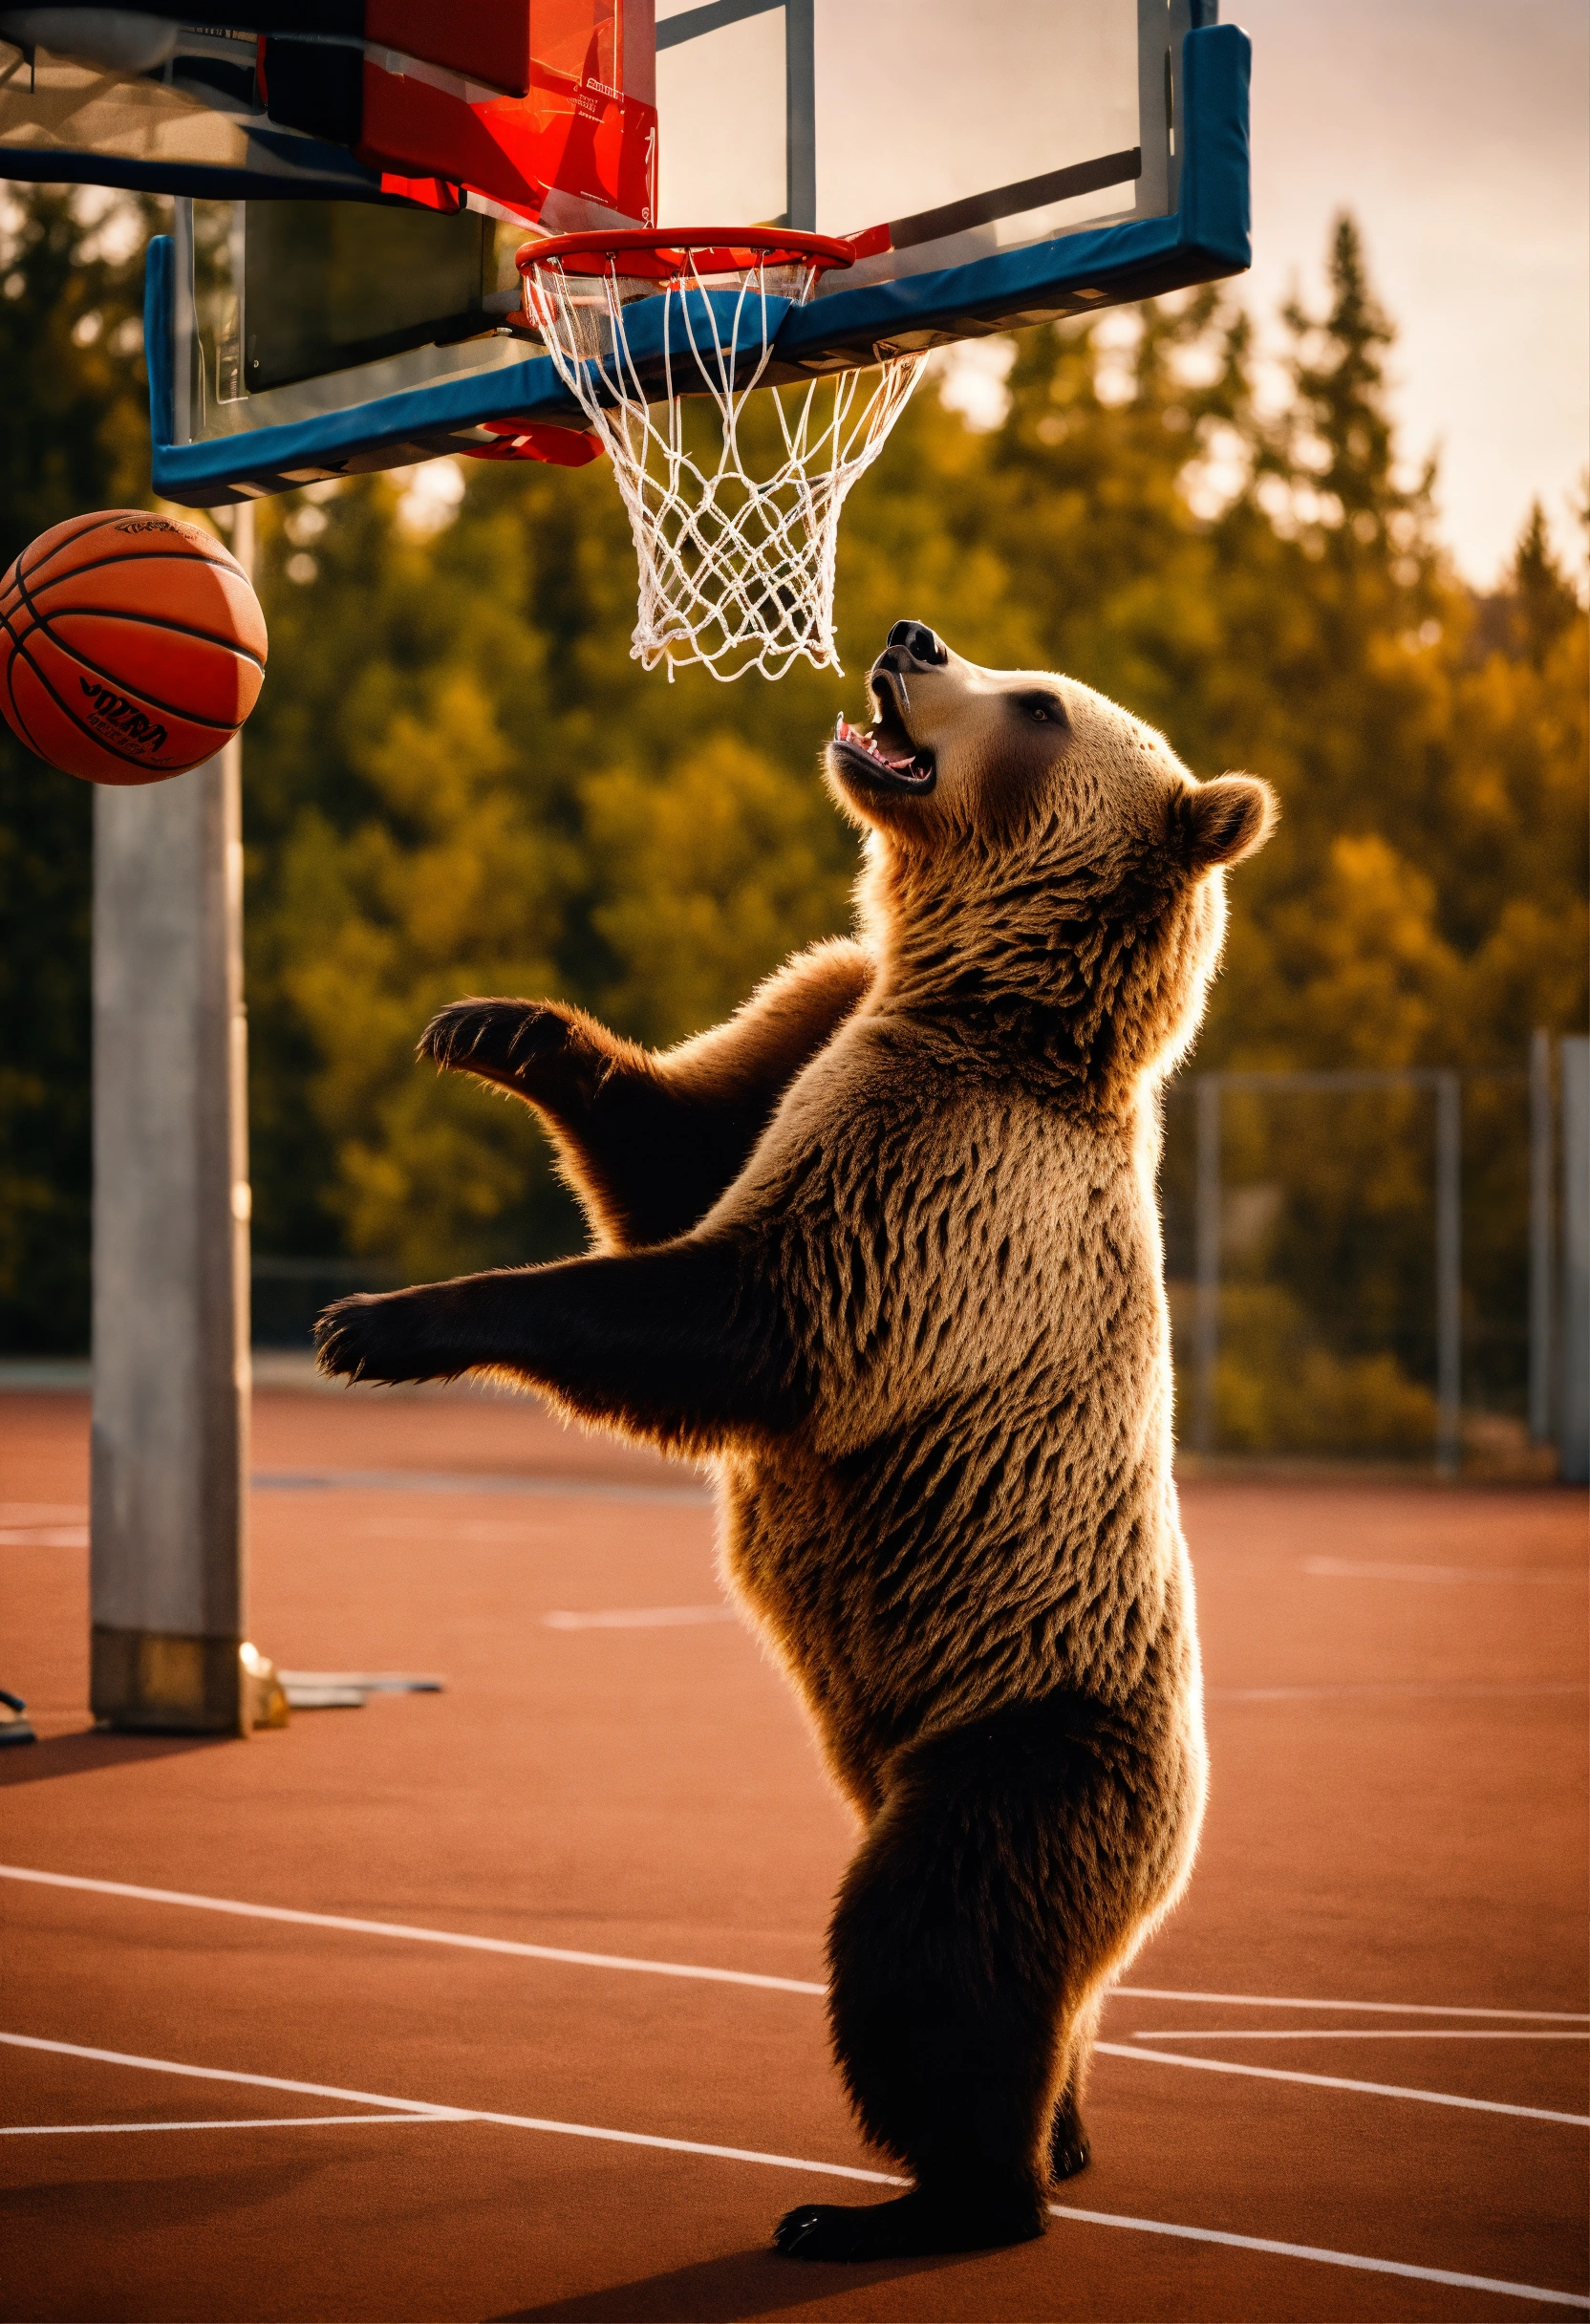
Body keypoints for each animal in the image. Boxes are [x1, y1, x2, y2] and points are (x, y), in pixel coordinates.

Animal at [315, 618, 1276, 2264]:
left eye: (1039, 704)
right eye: (1012, 669)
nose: (911, 638)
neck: (974, 994)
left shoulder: (943, 1181)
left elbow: (747, 1317)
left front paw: (385, 1322)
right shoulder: (823, 1027)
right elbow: (677, 1163)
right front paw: (498, 1027)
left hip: (1029, 1739)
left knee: (931, 1949)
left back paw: (919, 2201)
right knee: (1027, 1993)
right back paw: (1062, 2125)